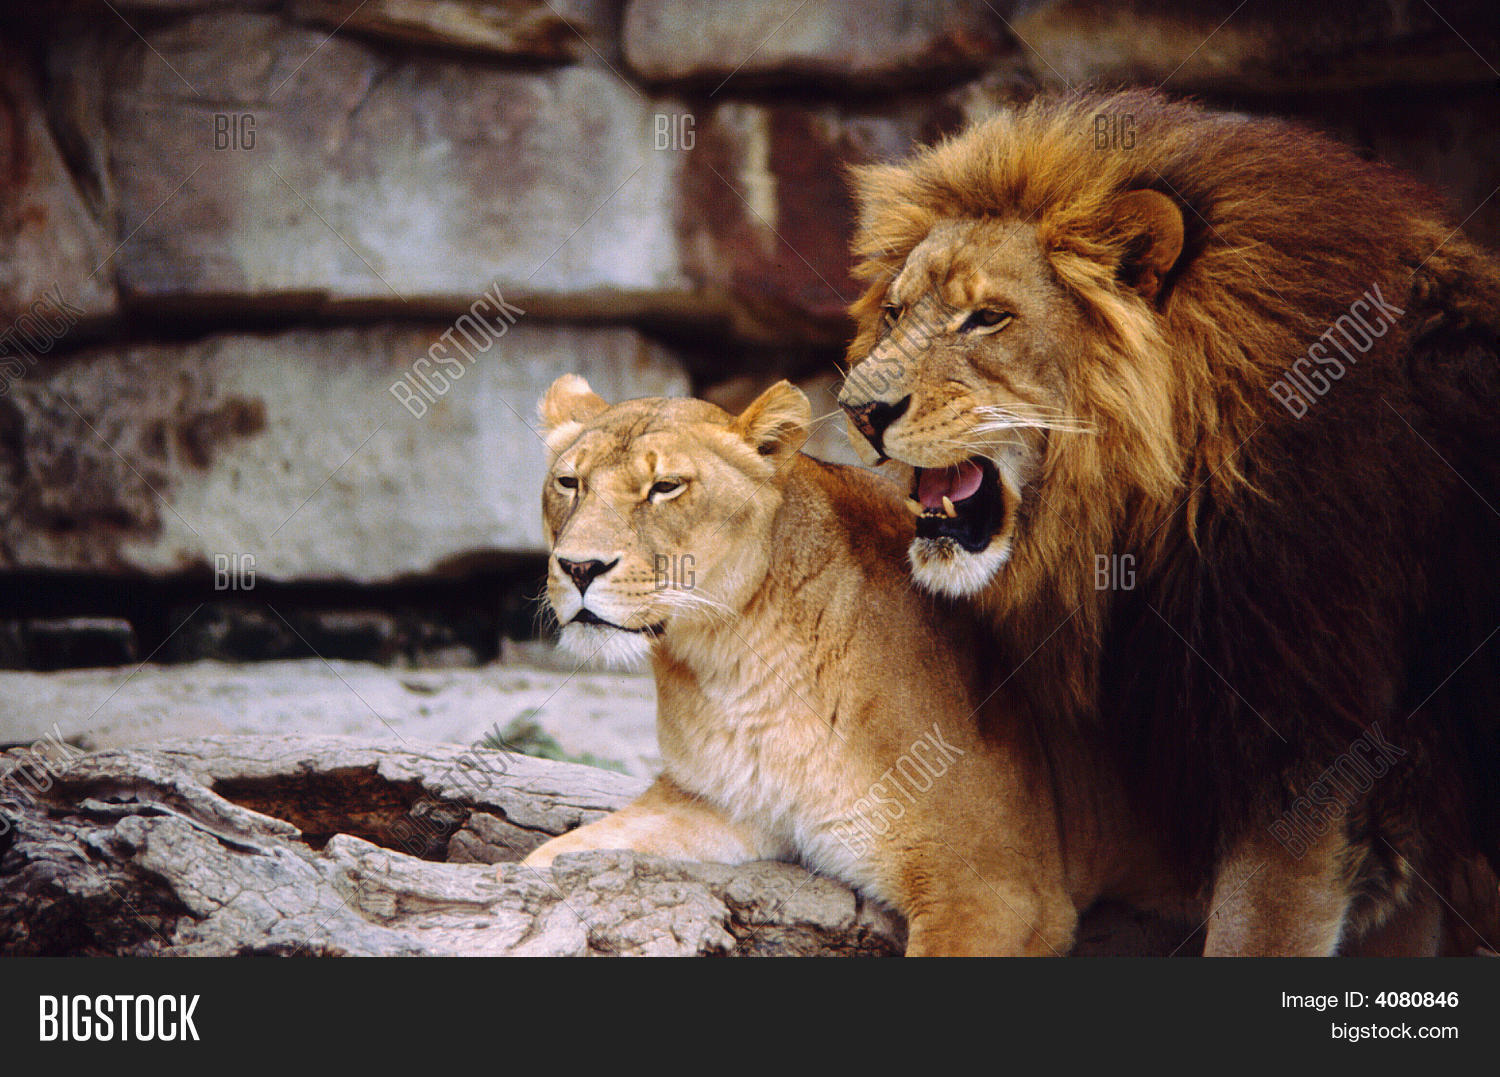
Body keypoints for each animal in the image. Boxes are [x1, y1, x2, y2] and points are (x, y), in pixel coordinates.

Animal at [516, 374, 1192, 955]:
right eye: (569, 483)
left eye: (665, 487)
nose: (578, 567)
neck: (735, 659)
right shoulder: (709, 803)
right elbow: (548, 857)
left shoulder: (1000, 893)